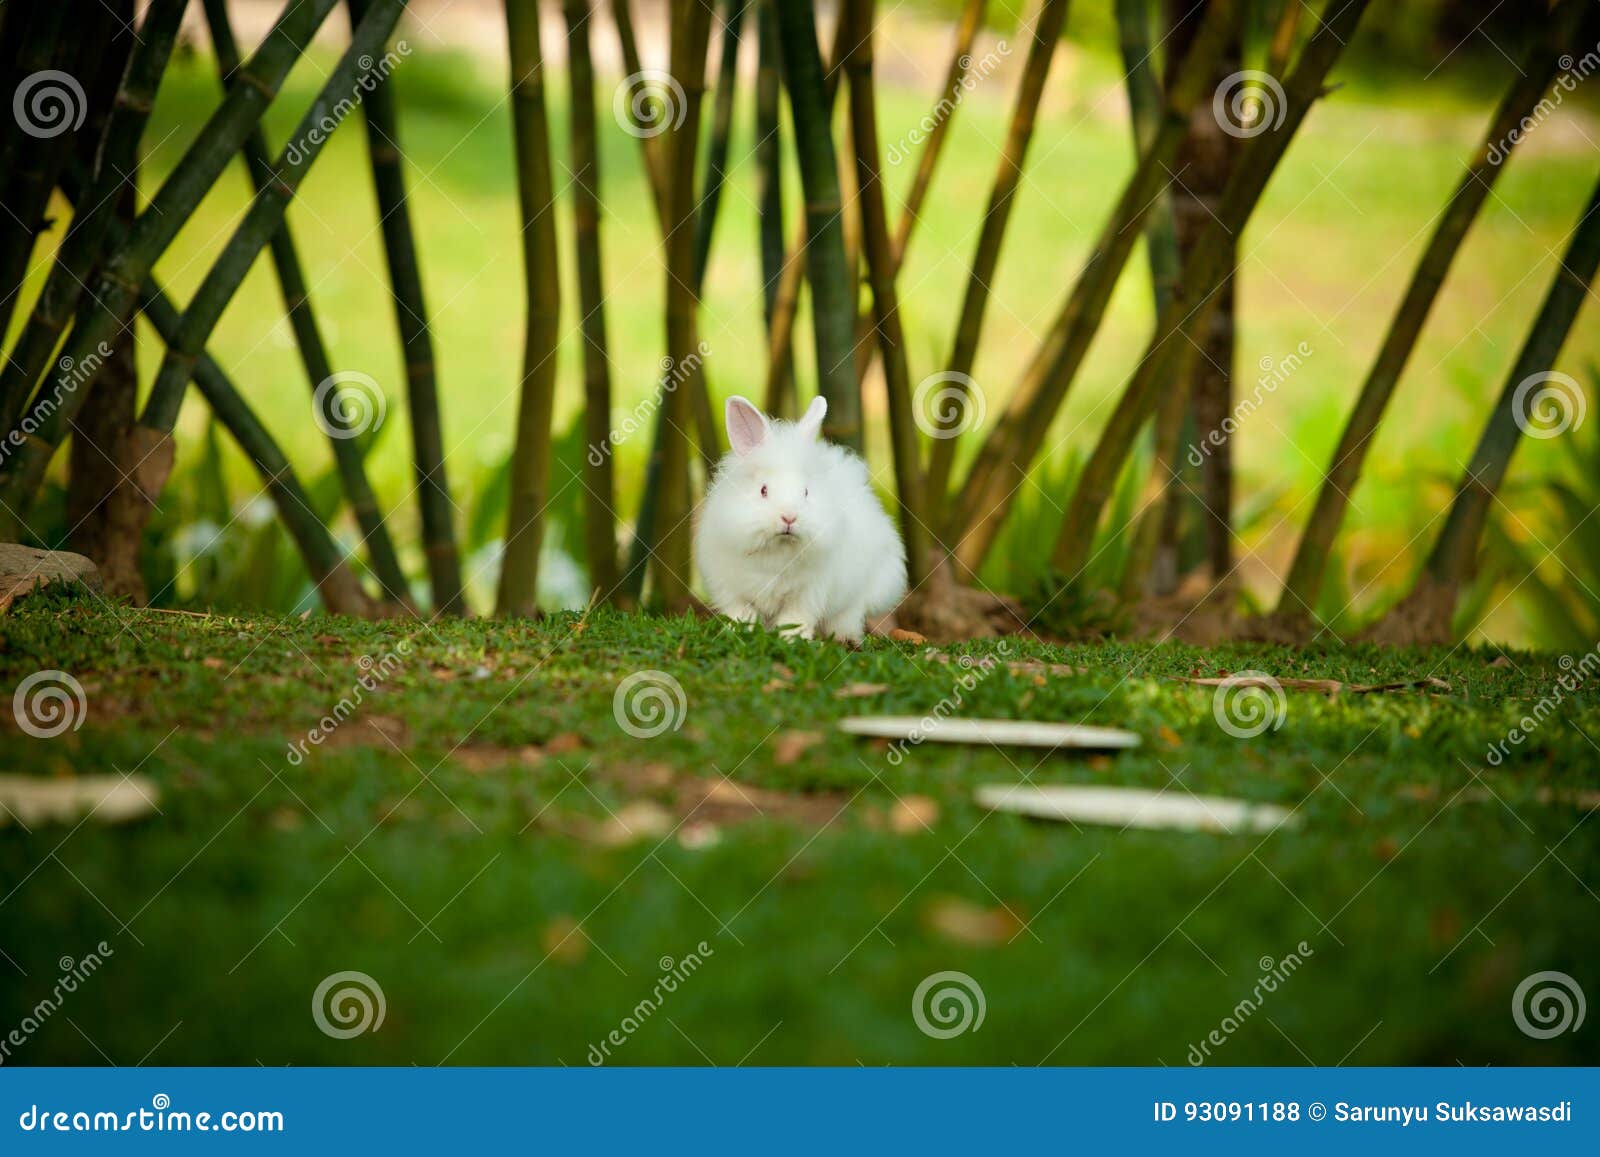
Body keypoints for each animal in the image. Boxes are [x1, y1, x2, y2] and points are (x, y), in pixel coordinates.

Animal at [693, 395, 907, 642]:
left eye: (805, 492)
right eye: (763, 490)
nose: (789, 517)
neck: (778, 551)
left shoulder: (808, 593)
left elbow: (795, 617)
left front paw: (792, 639)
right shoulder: (731, 590)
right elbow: (741, 613)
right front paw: (740, 632)